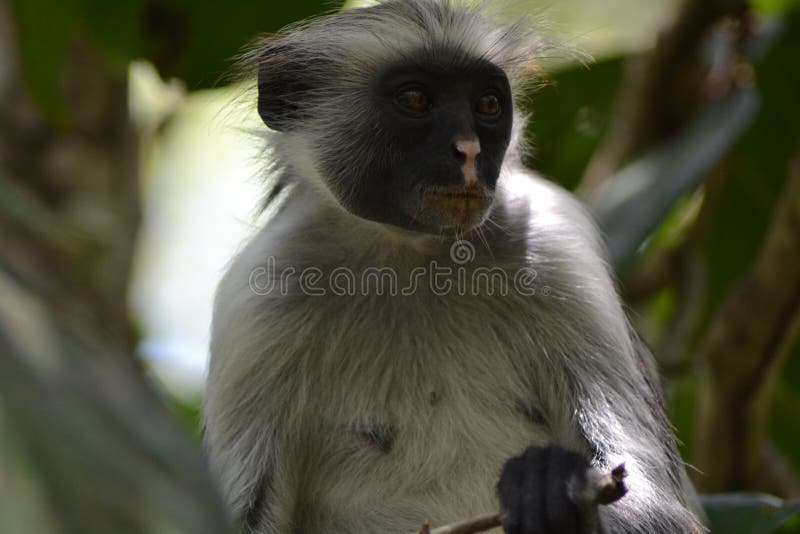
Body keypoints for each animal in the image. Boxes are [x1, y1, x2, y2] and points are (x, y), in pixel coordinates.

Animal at [203, 1, 706, 532]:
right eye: (416, 99)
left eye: (487, 105)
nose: (468, 151)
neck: (411, 253)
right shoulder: (262, 294)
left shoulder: (556, 245)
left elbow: (655, 505)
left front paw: (554, 491)